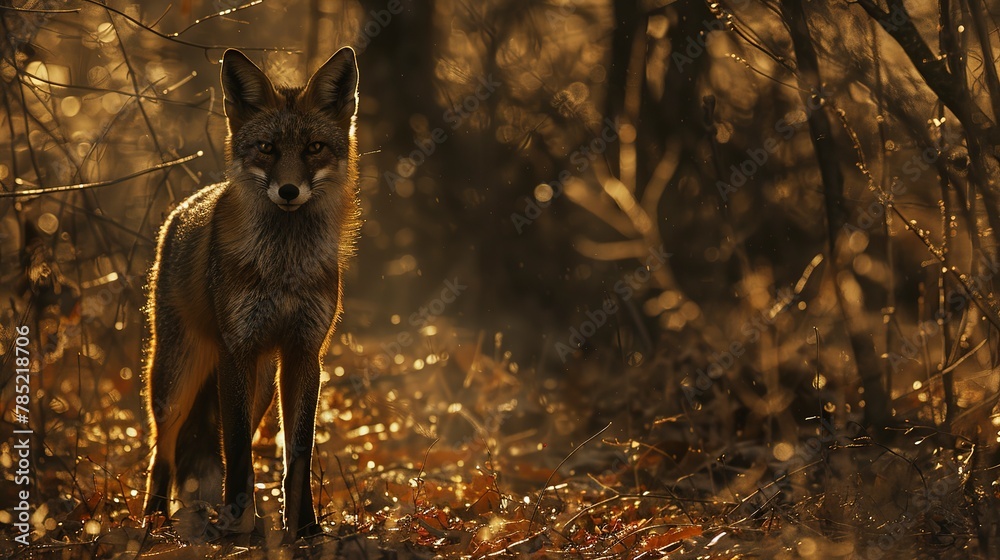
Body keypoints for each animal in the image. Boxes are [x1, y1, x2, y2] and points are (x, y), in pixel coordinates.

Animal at [142, 47, 360, 539]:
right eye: (267, 148)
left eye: (314, 148)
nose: (289, 190)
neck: (284, 268)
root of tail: (183, 209)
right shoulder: (236, 349)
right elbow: (238, 448)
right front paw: (237, 525)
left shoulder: (304, 351)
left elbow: (298, 454)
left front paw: (305, 529)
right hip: (177, 376)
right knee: (162, 447)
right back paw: (153, 519)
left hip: (260, 385)